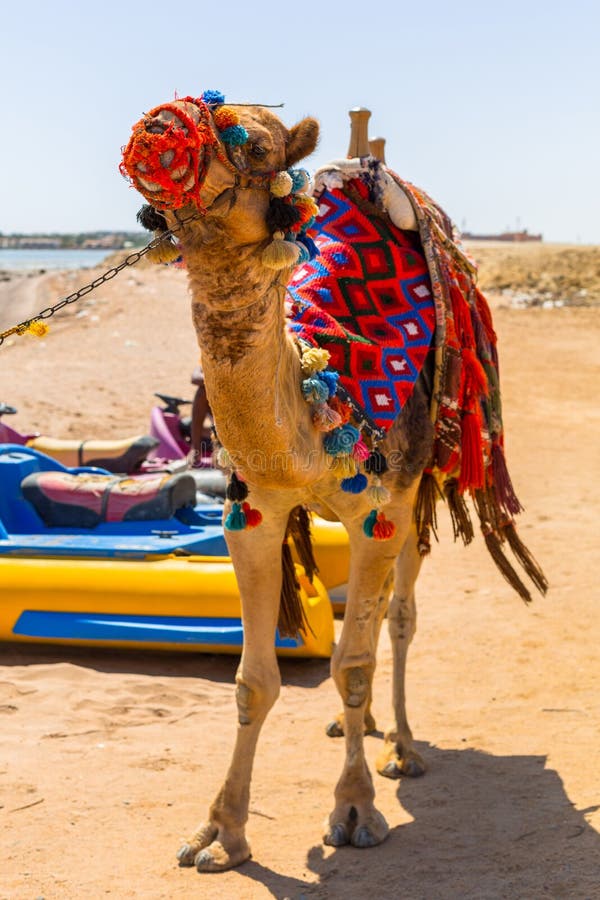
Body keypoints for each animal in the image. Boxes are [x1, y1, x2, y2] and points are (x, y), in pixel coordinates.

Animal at [120, 92, 547, 872]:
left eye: (257, 145)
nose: (159, 125)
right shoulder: (251, 514)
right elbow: (254, 679)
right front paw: (220, 833)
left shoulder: (382, 509)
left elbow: (350, 663)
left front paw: (354, 812)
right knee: (370, 626)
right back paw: (365, 725)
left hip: (416, 492)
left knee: (398, 618)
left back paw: (400, 747)